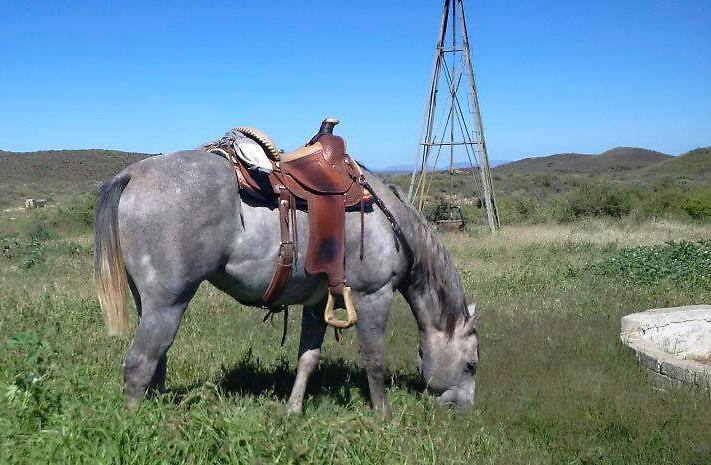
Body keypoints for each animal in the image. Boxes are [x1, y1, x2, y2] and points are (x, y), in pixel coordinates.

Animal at [94, 148, 480, 413]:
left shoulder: (318, 305)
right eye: (471, 364)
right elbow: (374, 358)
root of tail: (132, 174)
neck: (390, 222)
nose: (465, 410)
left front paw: (293, 410)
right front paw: (382, 415)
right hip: (168, 304)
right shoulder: (373, 295)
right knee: (139, 363)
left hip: (151, 306)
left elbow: (308, 357)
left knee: (156, 361)